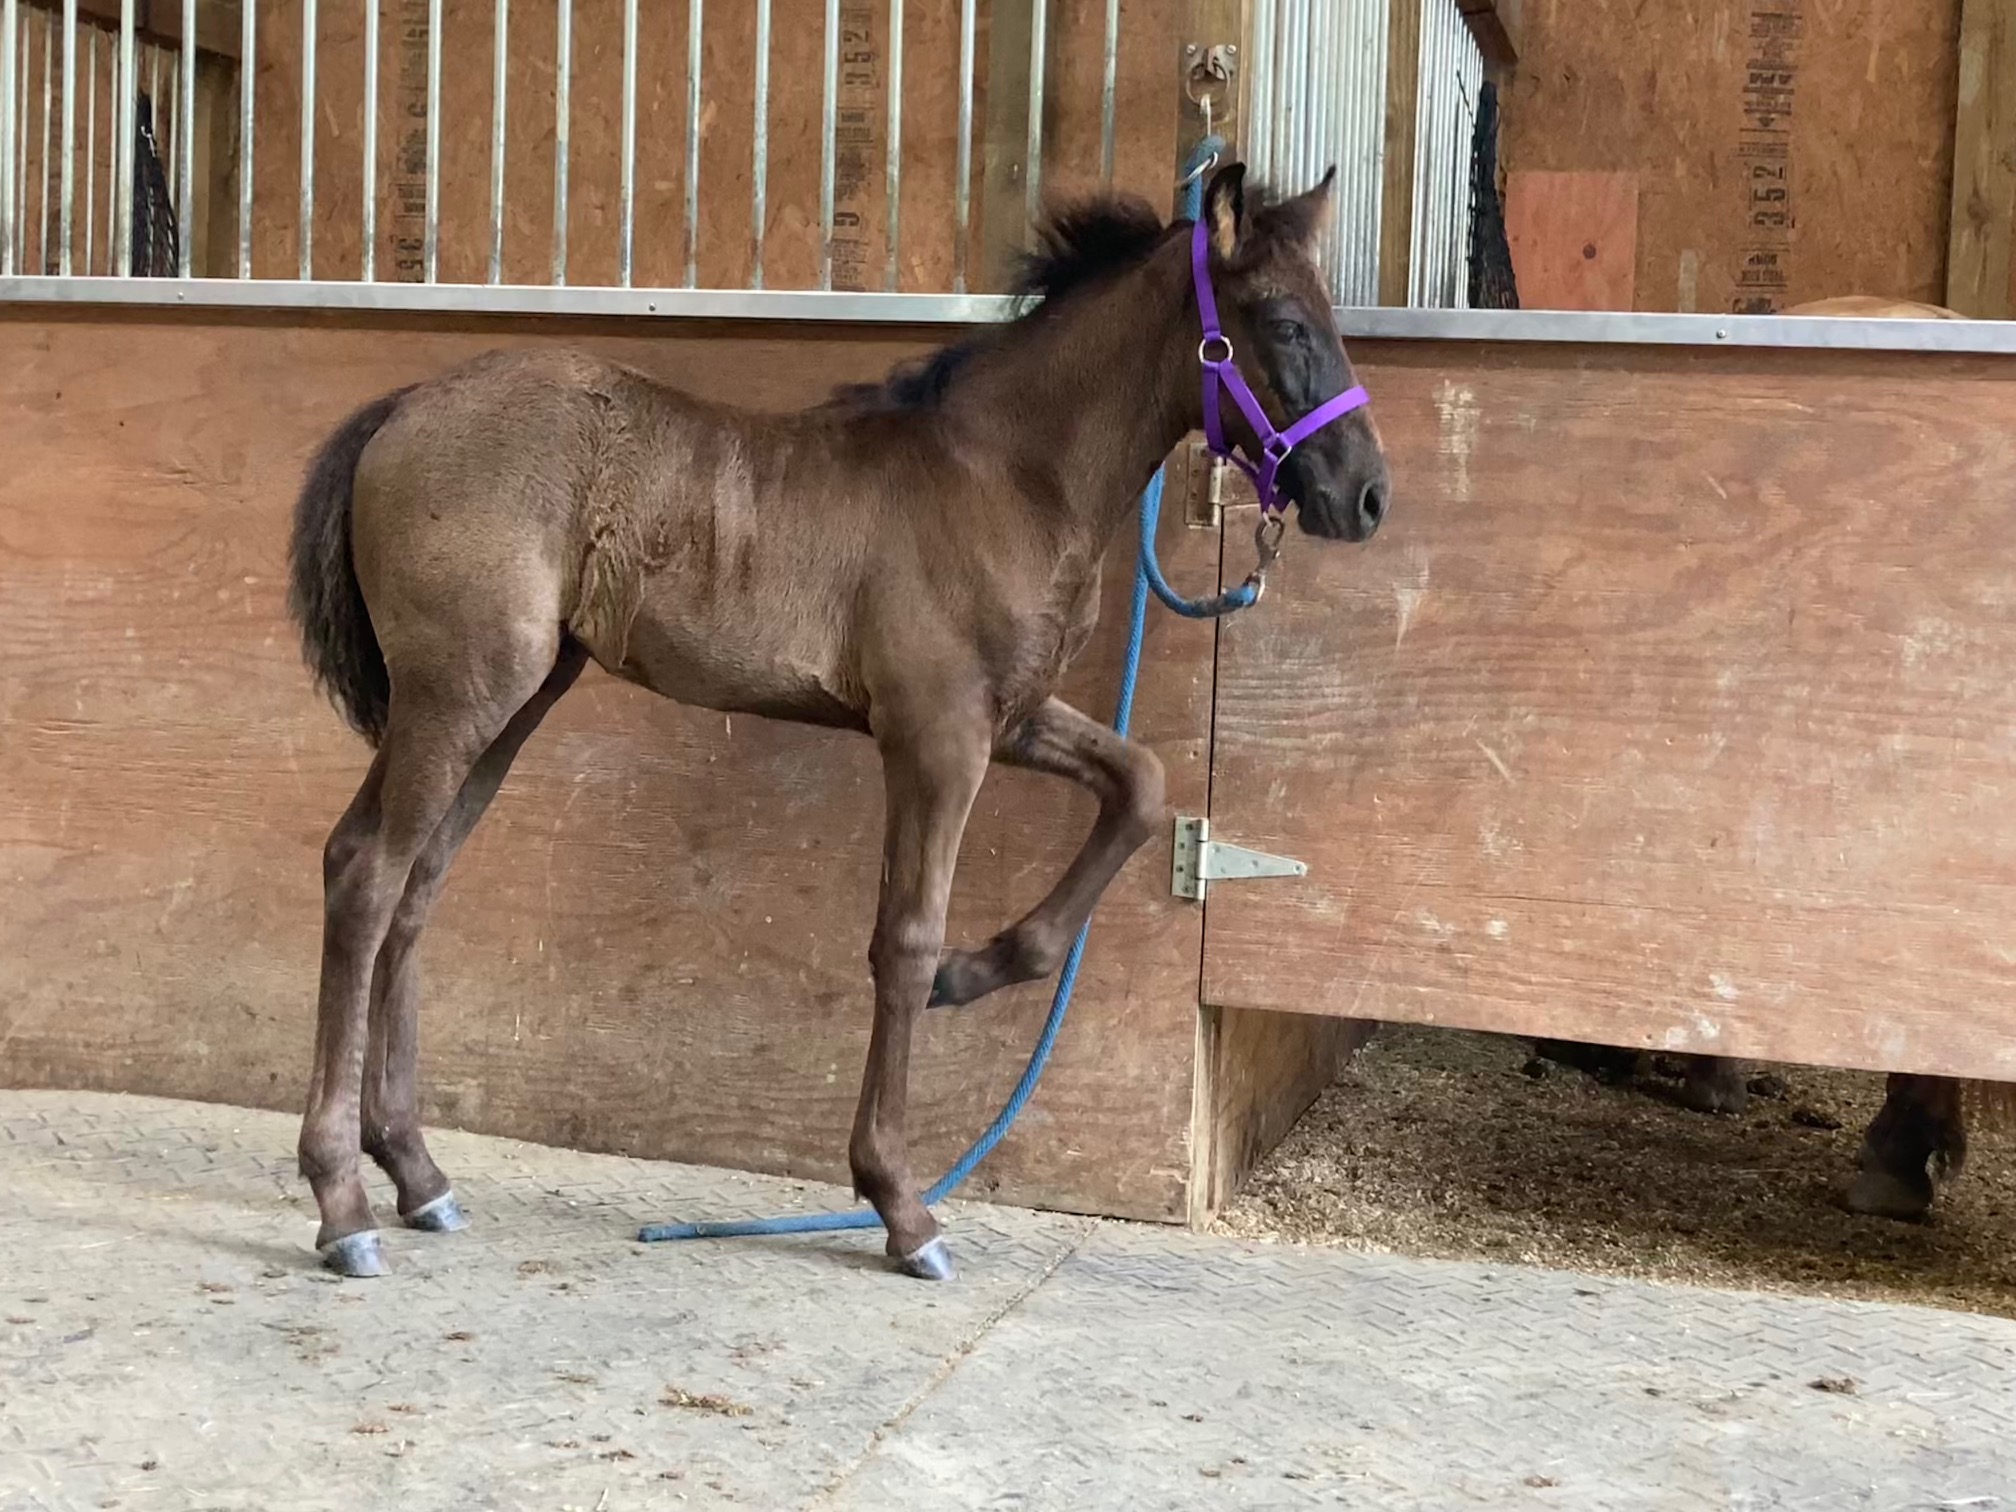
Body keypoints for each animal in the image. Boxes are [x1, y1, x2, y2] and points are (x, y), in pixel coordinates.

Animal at [284, 163, 1391, 1281]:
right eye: (1285, 324)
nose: (1366, 496)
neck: (1004, 480)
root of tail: (401, 409)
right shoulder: (936, 736)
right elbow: (902, 939)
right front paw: (901, 1204)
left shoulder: (1013, 717)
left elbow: (1142, 787)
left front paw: (976, 972)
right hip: (463, 692)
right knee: (365, 870)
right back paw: (343, 1204)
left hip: (511, 700)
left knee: (417, 884)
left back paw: (416, 1173)